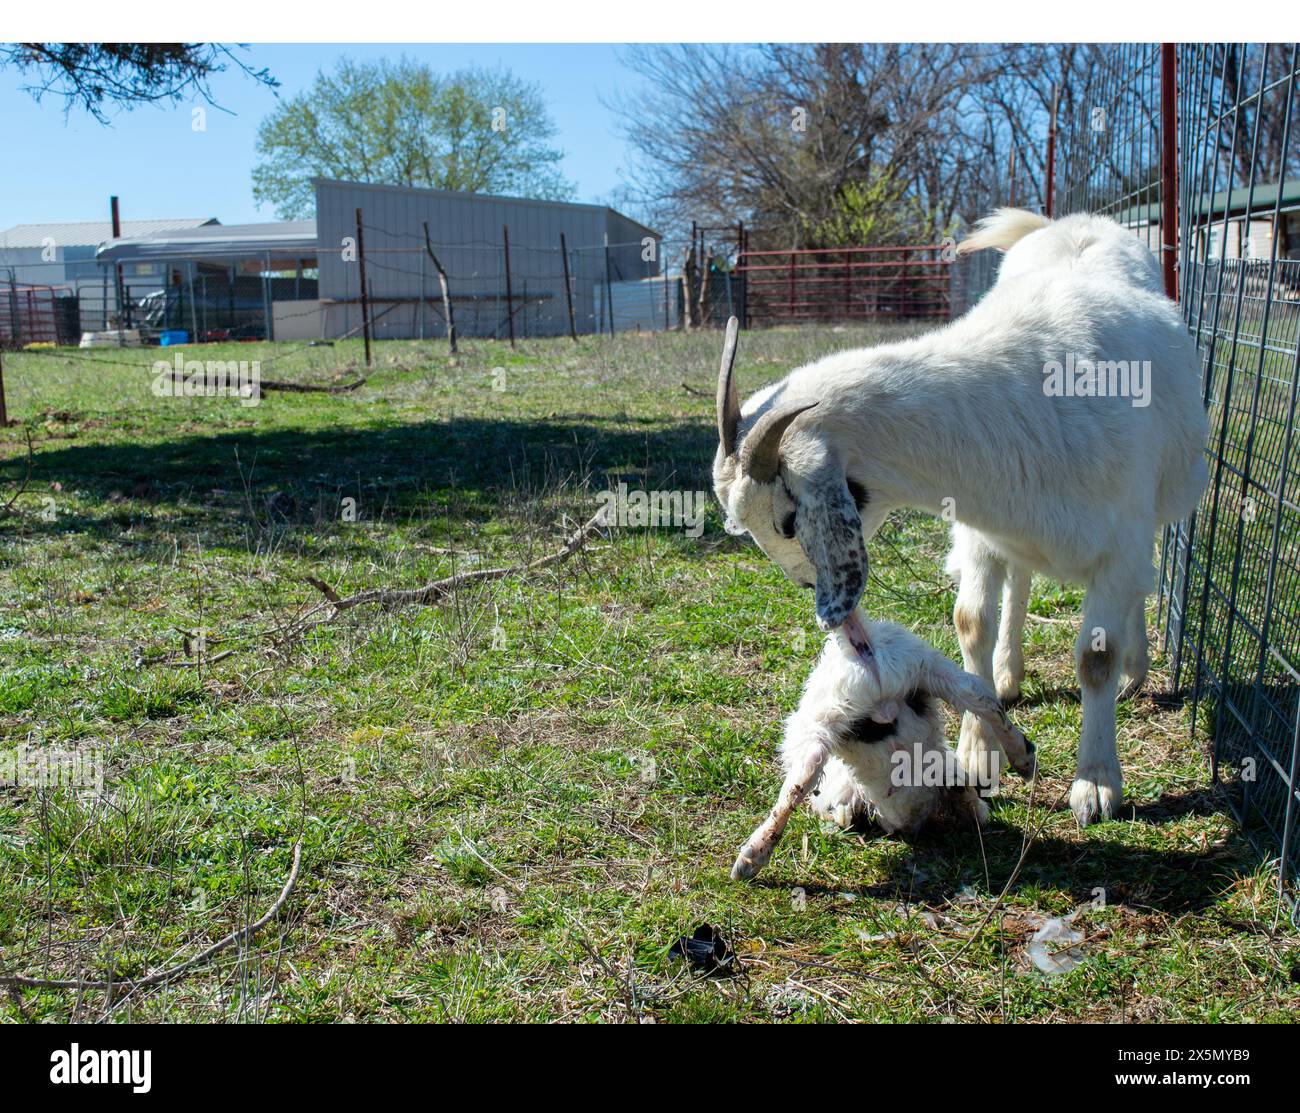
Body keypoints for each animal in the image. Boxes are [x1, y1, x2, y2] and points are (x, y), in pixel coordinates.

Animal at [713, 209, 1208, 826]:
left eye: (785, 520)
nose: (808, 587)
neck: (1025, 396)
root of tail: (1075, 221)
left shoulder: (1118, 545)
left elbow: (1096, 657)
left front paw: (1096, 784)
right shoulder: (978, 533)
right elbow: (971, 621)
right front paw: (979, 752)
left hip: (1153, 509)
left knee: (1143, 580)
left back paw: (1136, 671)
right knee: (1020, 582)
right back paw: (1010, 673)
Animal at [732, 612, 1033, 881]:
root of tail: (865, 652)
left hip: (820, 724)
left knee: (796, 786)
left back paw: (750, 859)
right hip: (929, 667)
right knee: (983, 700)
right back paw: (1025, 758)